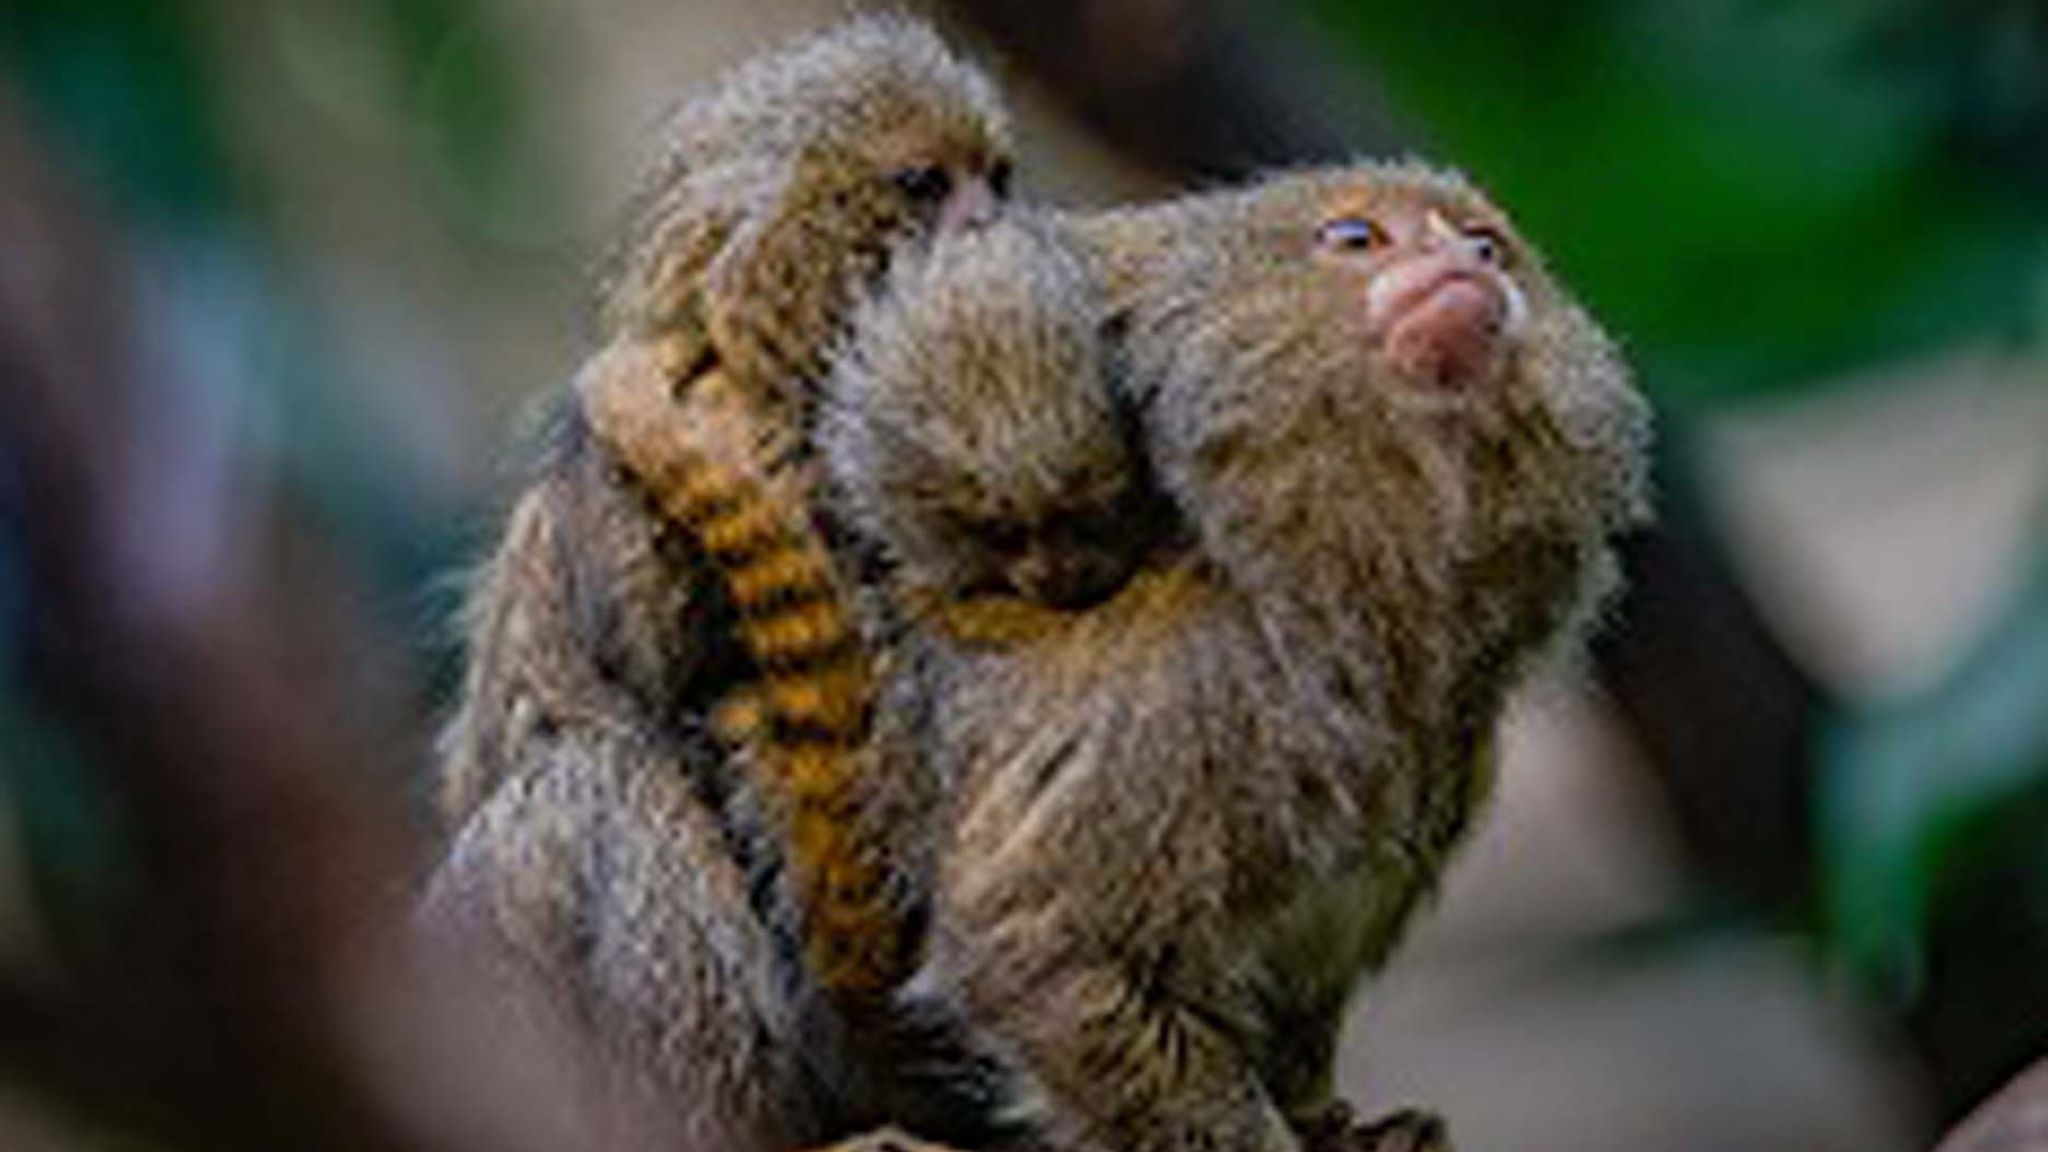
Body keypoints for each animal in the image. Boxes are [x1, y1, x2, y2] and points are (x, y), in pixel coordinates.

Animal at [420, 17, 1016, 1151]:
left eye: (996, 180)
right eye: (925, 184)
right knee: (592, 784)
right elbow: (644, 671)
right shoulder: (633, 469)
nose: (991, 225)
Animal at [817, 160, 1650, 1152]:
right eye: (1357, 239)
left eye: (1488, 246)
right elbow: (1037, 947)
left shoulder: (1449, 746)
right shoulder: (1170, 718)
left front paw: (1343, 1126)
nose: (1466, 264)